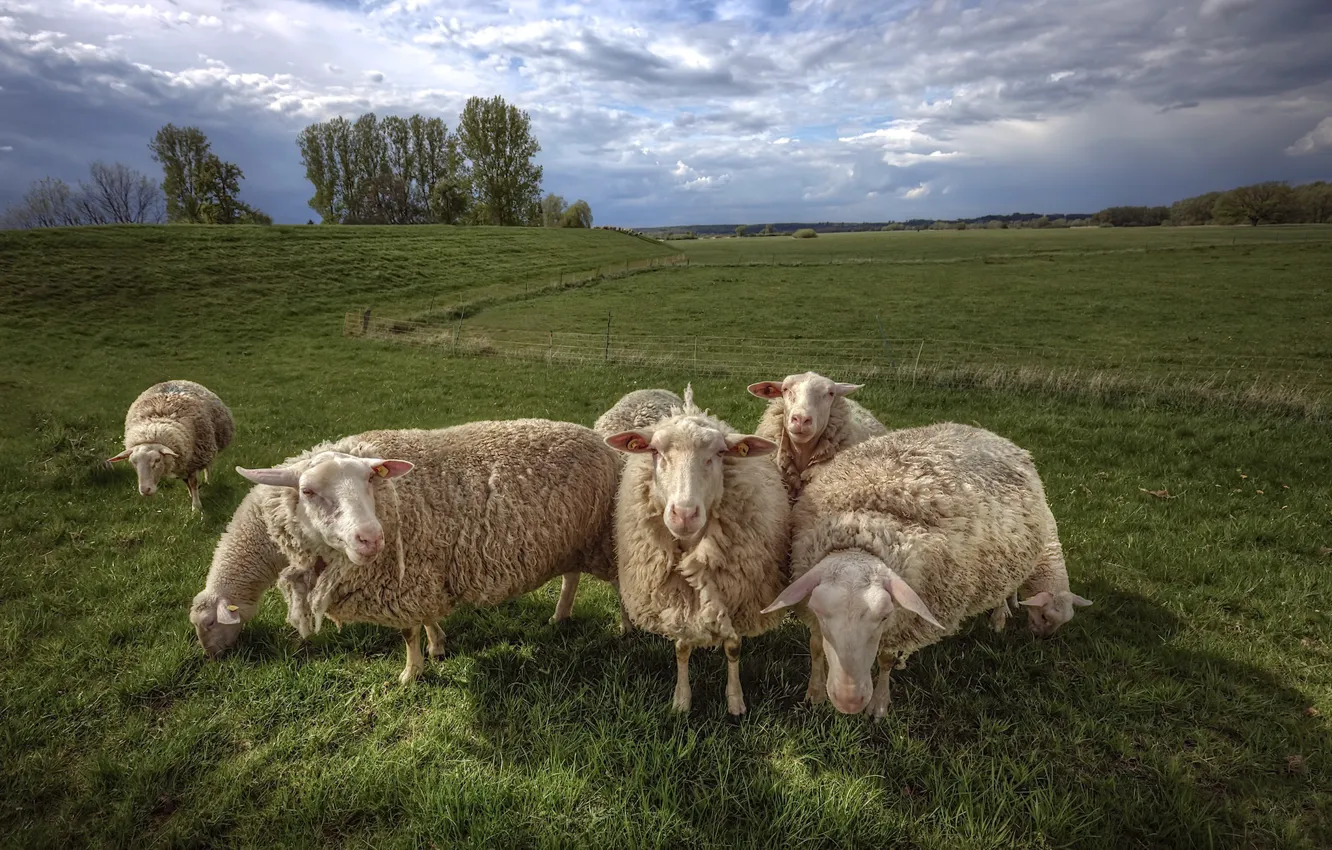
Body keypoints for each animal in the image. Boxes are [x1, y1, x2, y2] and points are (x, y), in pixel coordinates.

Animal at [106, 379, 234, 512]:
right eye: (132, 462)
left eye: (157, 460)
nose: (145, 490)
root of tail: (179, 380)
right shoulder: (182, 463)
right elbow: (187, 482)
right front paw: (191, 494)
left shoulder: (193, 460)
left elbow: (193, 482)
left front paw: (196, 506)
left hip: (208, 446)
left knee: (208, 466)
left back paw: (208, 480)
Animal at [195, 419, 620, 684]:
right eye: (308, 491)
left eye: (370, 479)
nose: (370, 538)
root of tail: (598, 439)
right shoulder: (423, 573)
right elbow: (427, 621)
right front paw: (438, 645)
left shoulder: (403, 581)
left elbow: (407, 632)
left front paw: (412, 672)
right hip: (571, 540)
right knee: (571, 577)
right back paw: (559, 616)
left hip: (604, 537)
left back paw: (624, 630)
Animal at [604, 385, 790, 715]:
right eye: (655, 451)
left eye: (719, 453)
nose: (684, 514)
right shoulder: (676, 601)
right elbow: (682, 647)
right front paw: (682, 700)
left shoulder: (736, 599)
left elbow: (733, 648)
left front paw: (735, 700)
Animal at [762, 422, 1091, 718]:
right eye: (820, 612)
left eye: (884, 616)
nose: (849, 701)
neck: (864, 527)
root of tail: (989, 432)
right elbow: (816, 648)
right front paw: (814, 694)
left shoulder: (904, 624)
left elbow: (885, 659)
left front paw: (879, 705)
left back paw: (999, 617)